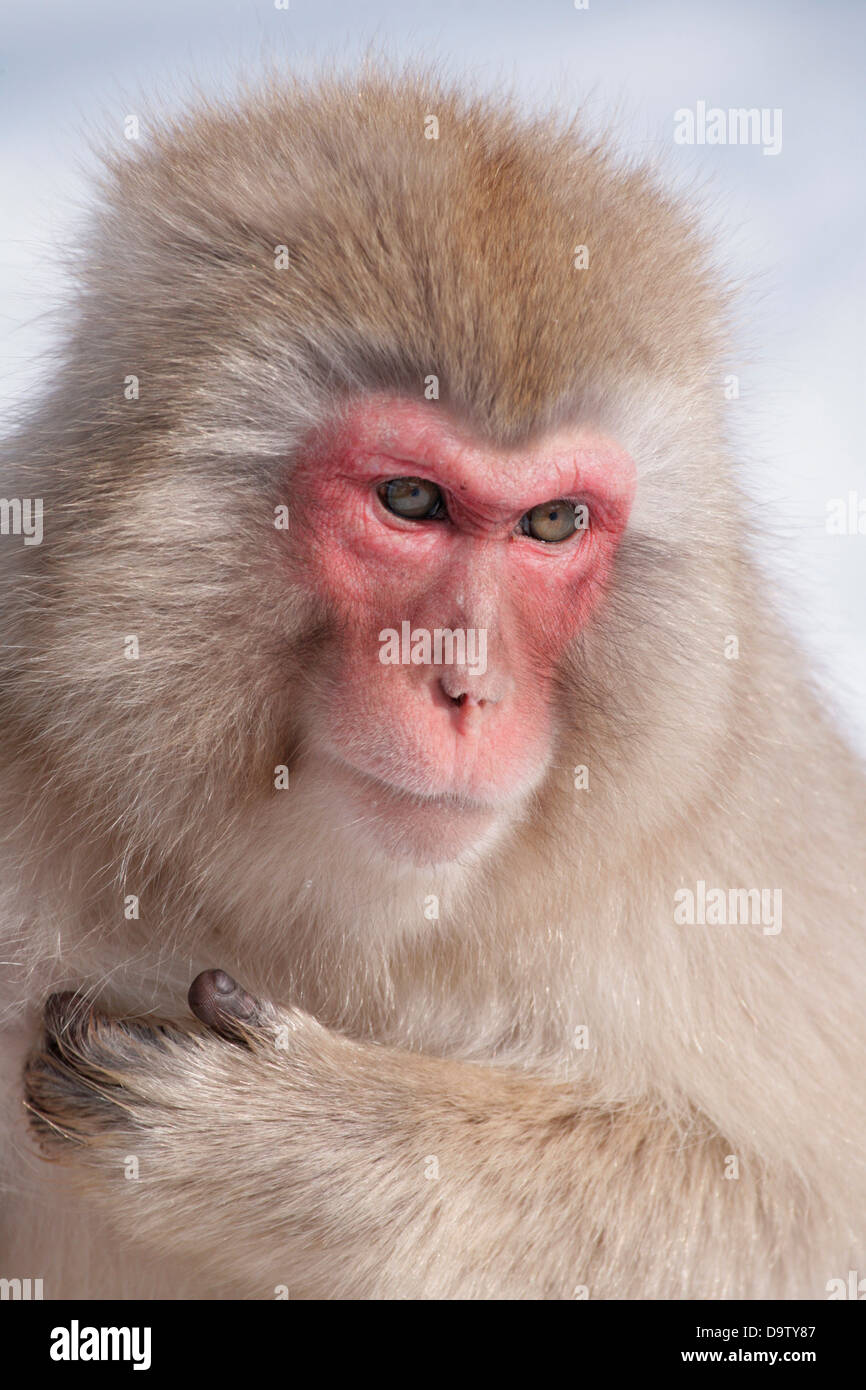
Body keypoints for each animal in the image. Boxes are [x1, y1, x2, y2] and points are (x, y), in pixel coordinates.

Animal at [0, 63, 863, 1301]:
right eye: (410, 501)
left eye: (551, 522)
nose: (467, 688)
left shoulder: (740, 848)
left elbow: (798, 1220)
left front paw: (290, 1137)